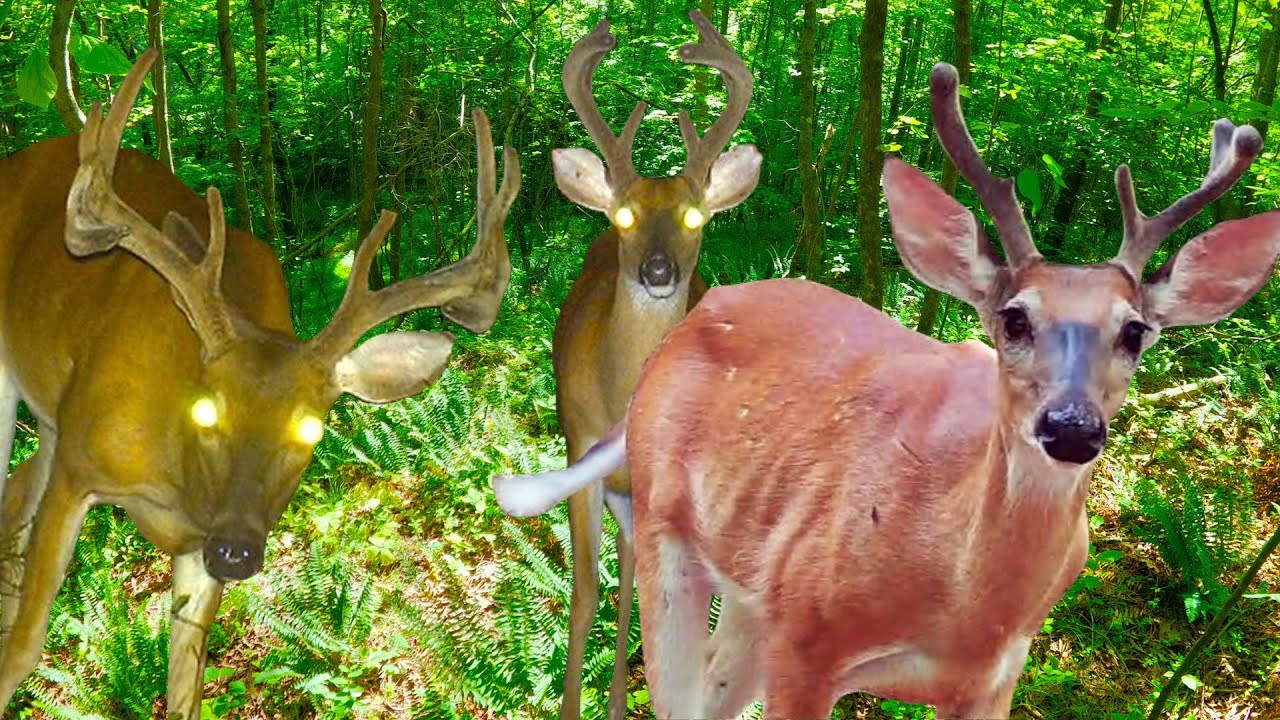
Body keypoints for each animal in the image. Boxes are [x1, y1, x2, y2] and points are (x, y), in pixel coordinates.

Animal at [0, 51, 518, 718]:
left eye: (310, 430)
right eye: (208, 411)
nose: (237, 551)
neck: (179, 485)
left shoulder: (193, 541)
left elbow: (185, 688)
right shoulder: (77, 465)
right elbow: (24, 649)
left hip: (48, 419)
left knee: (12, 503)